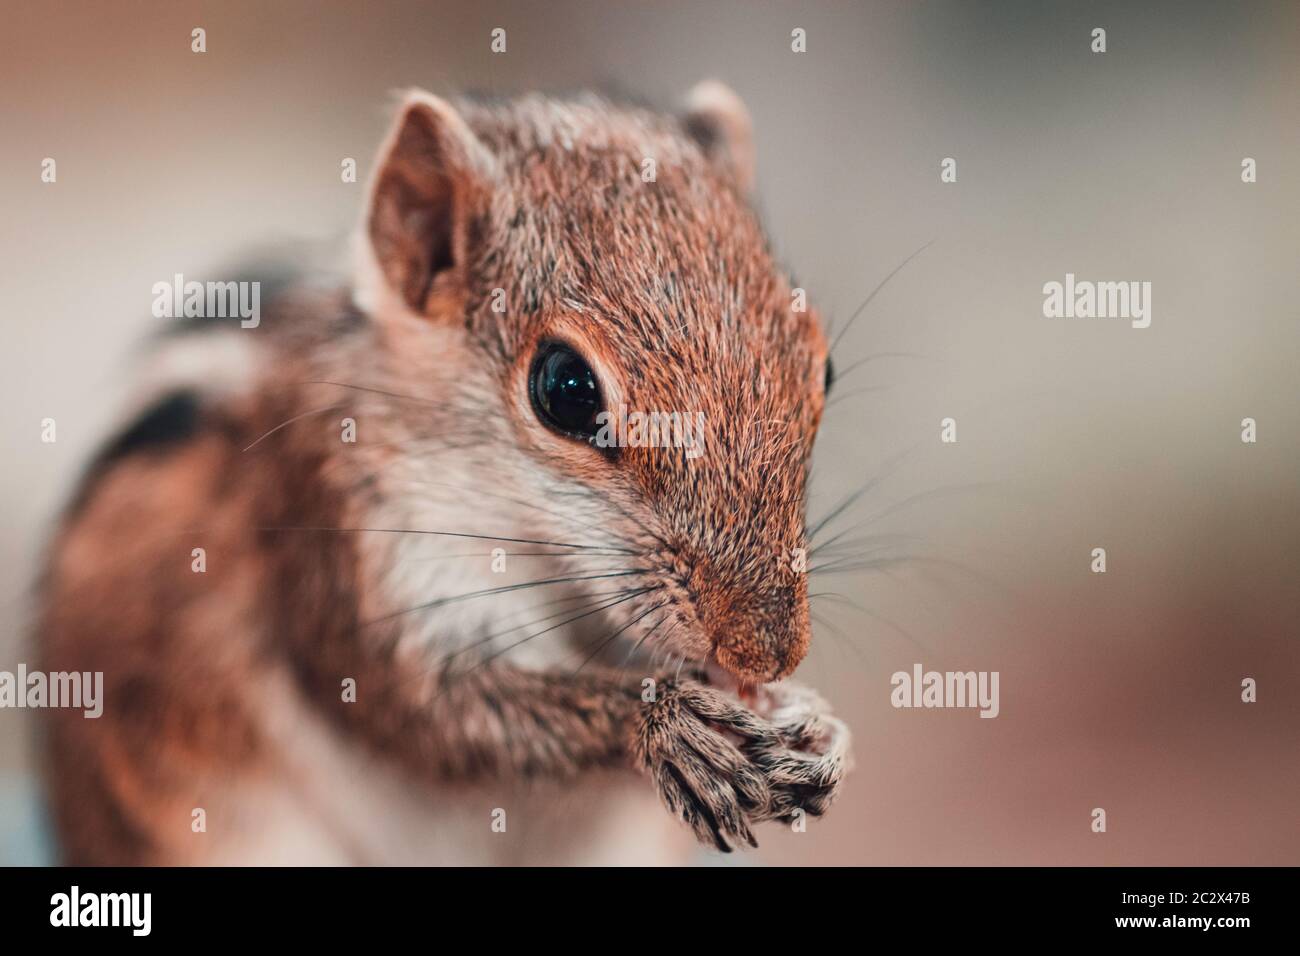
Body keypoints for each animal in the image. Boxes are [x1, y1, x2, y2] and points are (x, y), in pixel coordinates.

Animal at [35, 82, 851, 865]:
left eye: (824, 367)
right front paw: (671, 724)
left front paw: (811, 722)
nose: (763, 652)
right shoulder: (341, 535)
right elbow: (423, 710)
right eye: (566, 389)